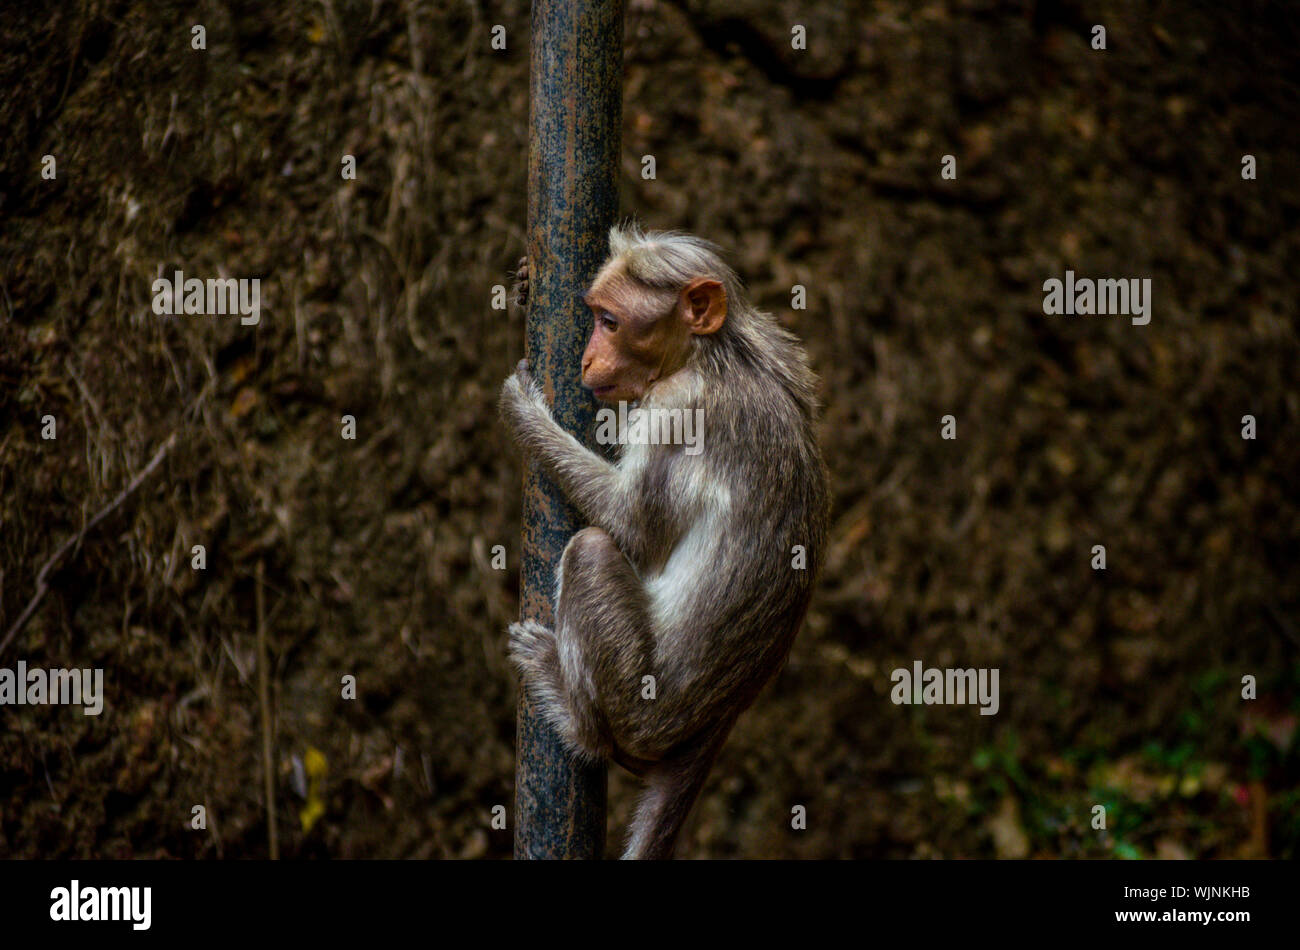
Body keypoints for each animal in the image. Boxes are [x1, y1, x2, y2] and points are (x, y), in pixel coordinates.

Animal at [499, 223, 829, 859]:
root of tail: (718, 723)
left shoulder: (678, 406)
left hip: (639, 706)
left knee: (591, 551)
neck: (712, 353)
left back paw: (576, 720)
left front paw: (524, 413)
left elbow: (632, 528)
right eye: (594, 315)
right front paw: (526, 281)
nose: (587, 357)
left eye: (611, 322)